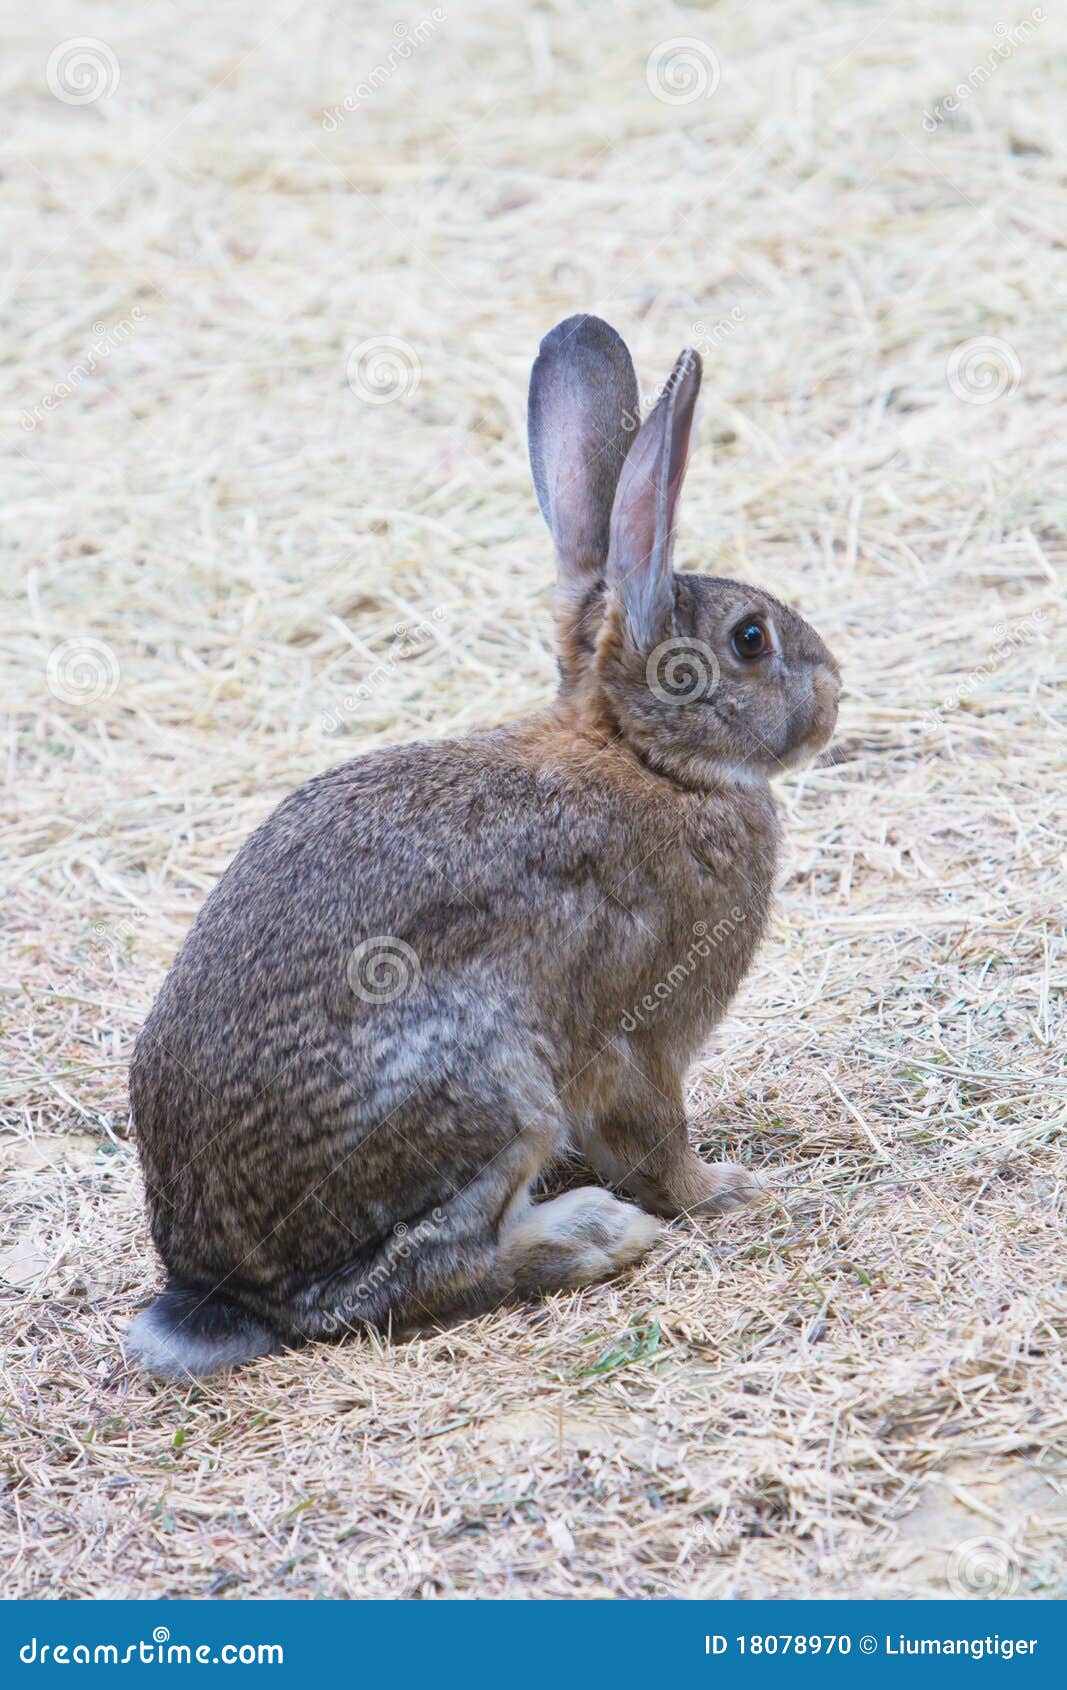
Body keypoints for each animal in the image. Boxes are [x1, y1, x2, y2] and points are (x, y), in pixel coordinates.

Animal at [125, 314, 840, 1379]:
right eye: (751, 638)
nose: (834, 695)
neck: (646, 758)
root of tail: (218, 1291)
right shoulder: (640, 1037)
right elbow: (656, 1133)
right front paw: (722, 1190)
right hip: (492, 1090)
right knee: (408, 1279)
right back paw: (589, 1235)